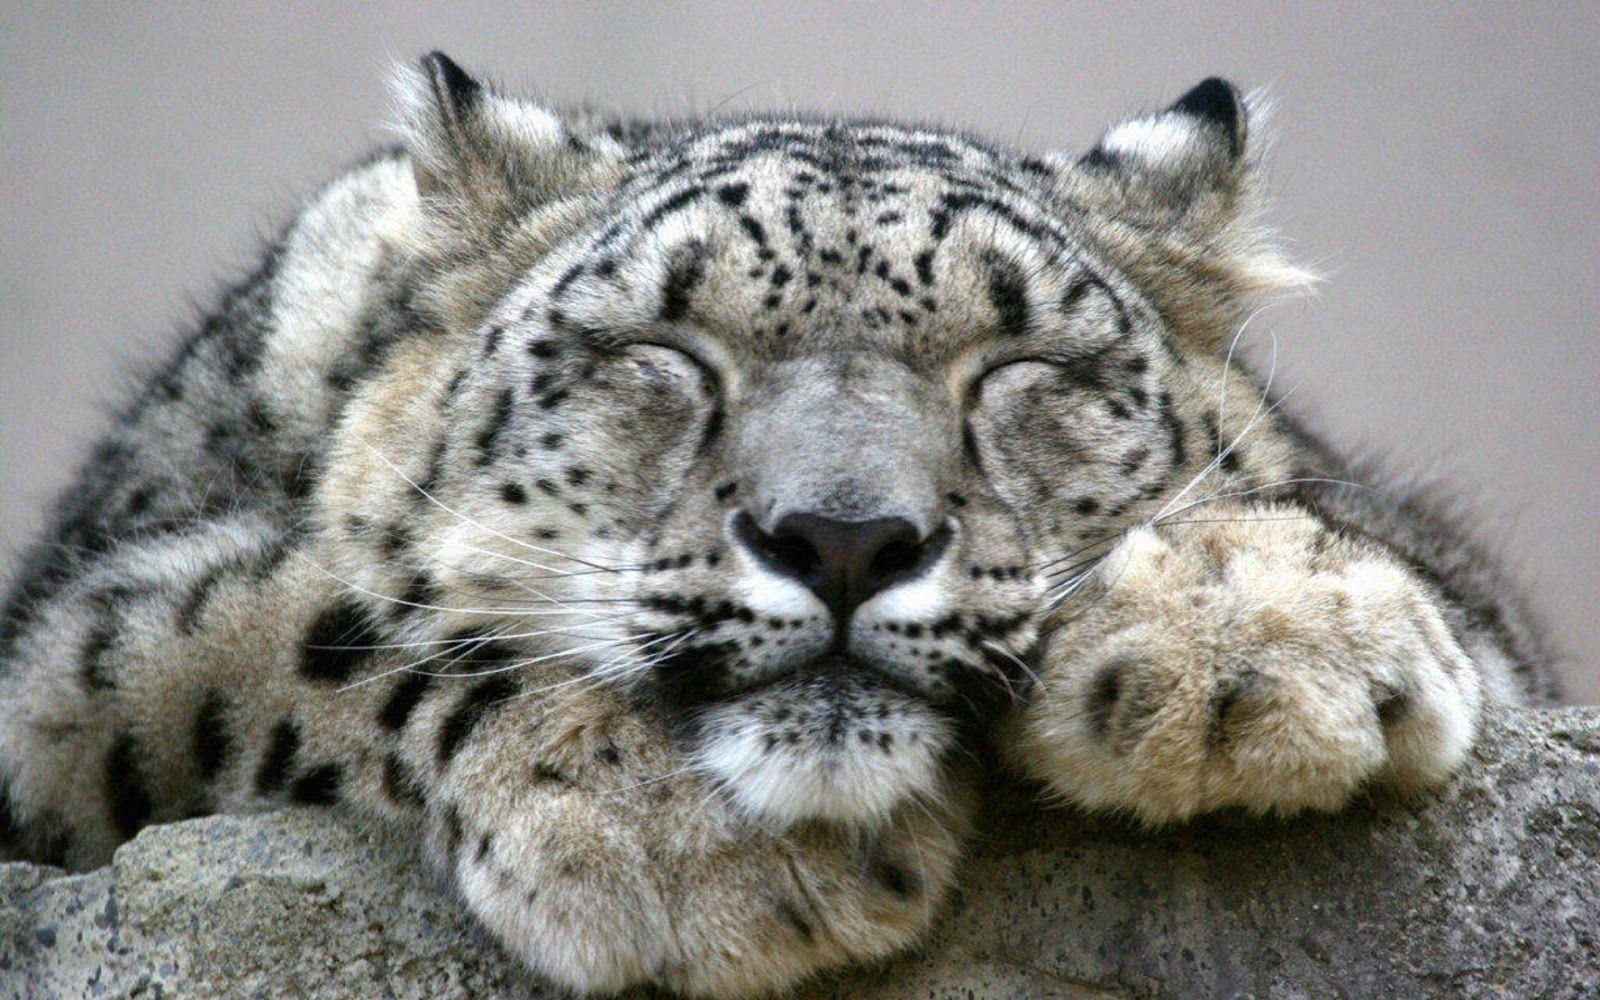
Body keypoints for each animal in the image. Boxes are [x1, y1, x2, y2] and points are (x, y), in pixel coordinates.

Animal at [0, 53, 1560, 997]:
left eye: (1019, 366)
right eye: (667, 350)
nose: (844, 538)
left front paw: (1258, 640)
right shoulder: (63, 682)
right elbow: (310, 609)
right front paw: (677, 837)